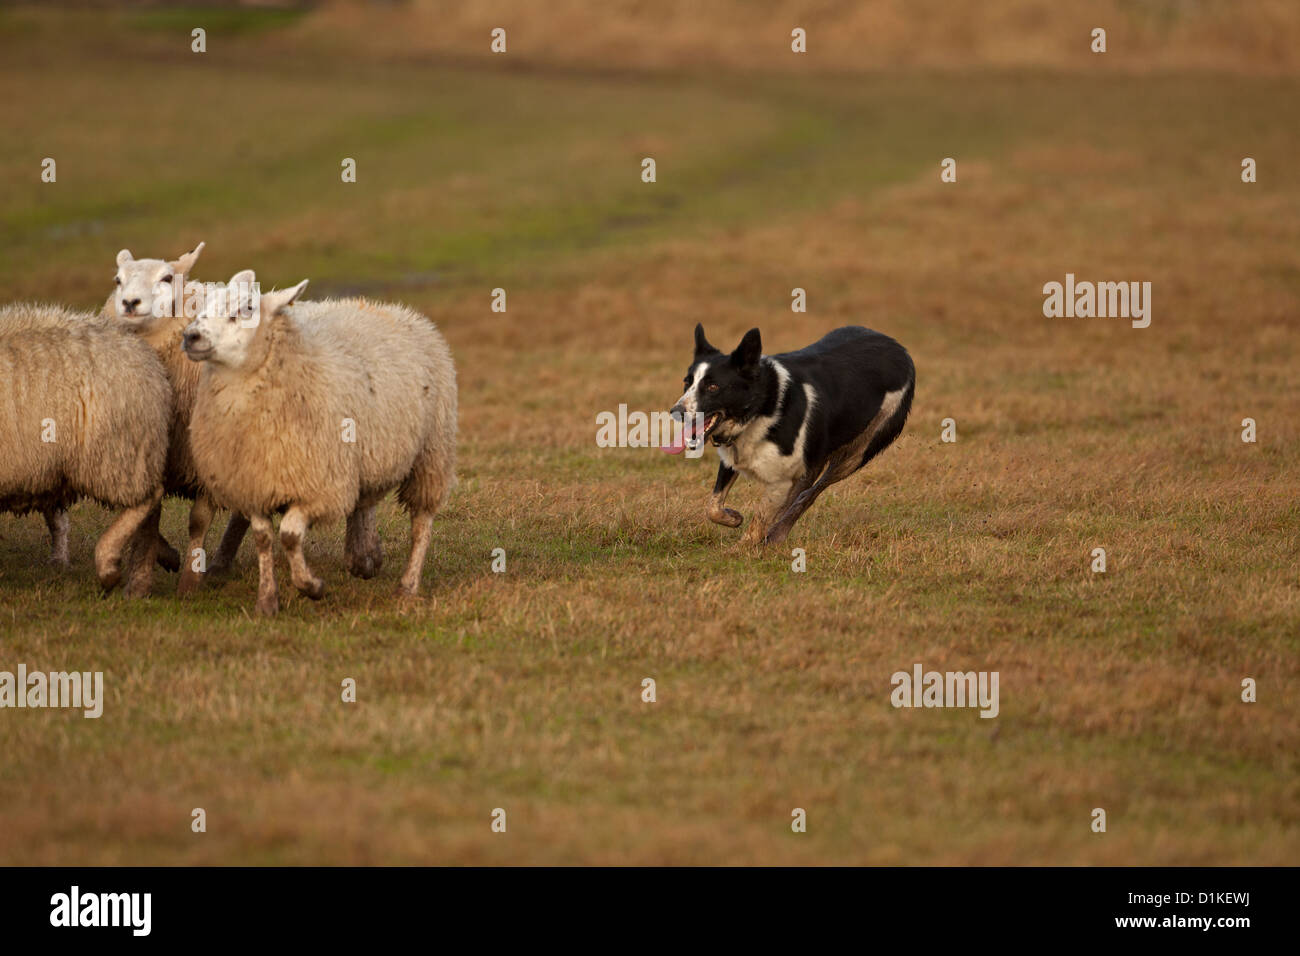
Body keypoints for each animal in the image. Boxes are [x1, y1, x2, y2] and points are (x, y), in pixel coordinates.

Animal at [106, 244, 250, 593]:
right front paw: (144, 577)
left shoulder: (204, 458)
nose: (130, 303)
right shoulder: (153, 454)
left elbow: (198, 520)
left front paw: (189, 581)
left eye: (167, 278)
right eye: (118, 280)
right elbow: (148, 517)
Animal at [182, 271, 457, 616]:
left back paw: (406, 586)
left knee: (421, 522)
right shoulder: (253, 484)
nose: (190, 336)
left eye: (247, 309)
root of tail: (392, 309)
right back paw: (364, 558)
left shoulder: (318, 486)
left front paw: (311, 586)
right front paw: (267, 600)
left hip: (431, 454)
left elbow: (288, 536)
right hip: (366, 455)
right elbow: (263, 539)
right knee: (363, 502)